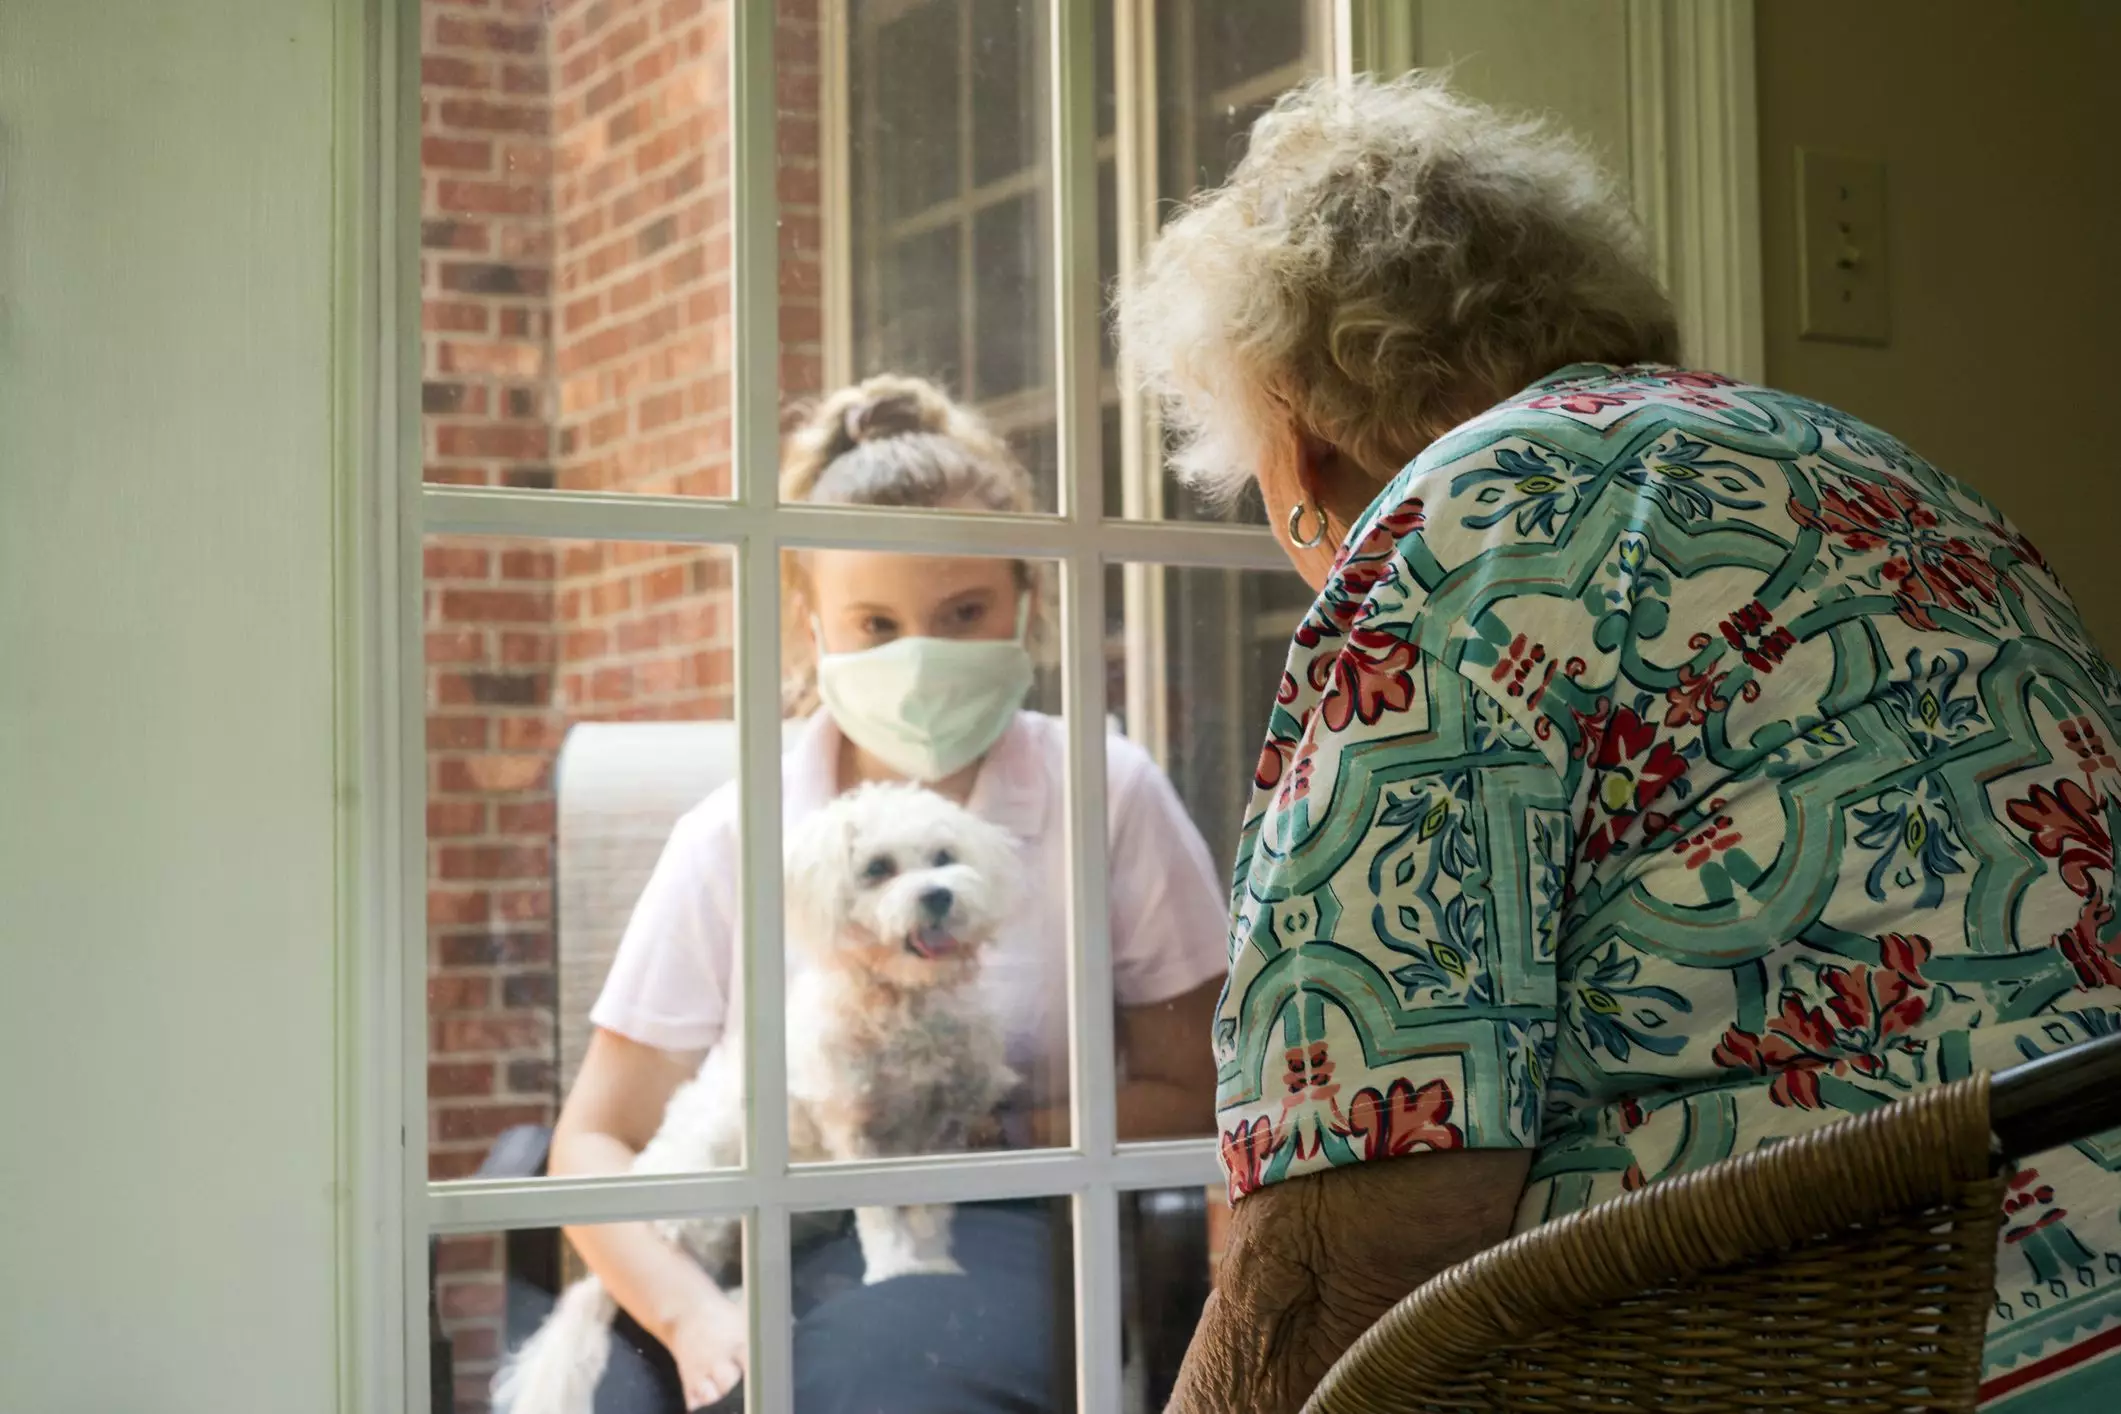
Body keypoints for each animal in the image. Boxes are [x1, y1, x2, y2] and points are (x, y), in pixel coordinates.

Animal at [498, 784, 1026, 1414]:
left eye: (945, 856)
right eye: (877, 868)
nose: (939, 895)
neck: (901, 1002)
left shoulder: (945, 1130)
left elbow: (931, 1213)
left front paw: (934, 1263)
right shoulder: (852, 1131)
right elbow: (881, 1219)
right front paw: (895, 1270)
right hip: (709, 1184)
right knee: (703, 1266)